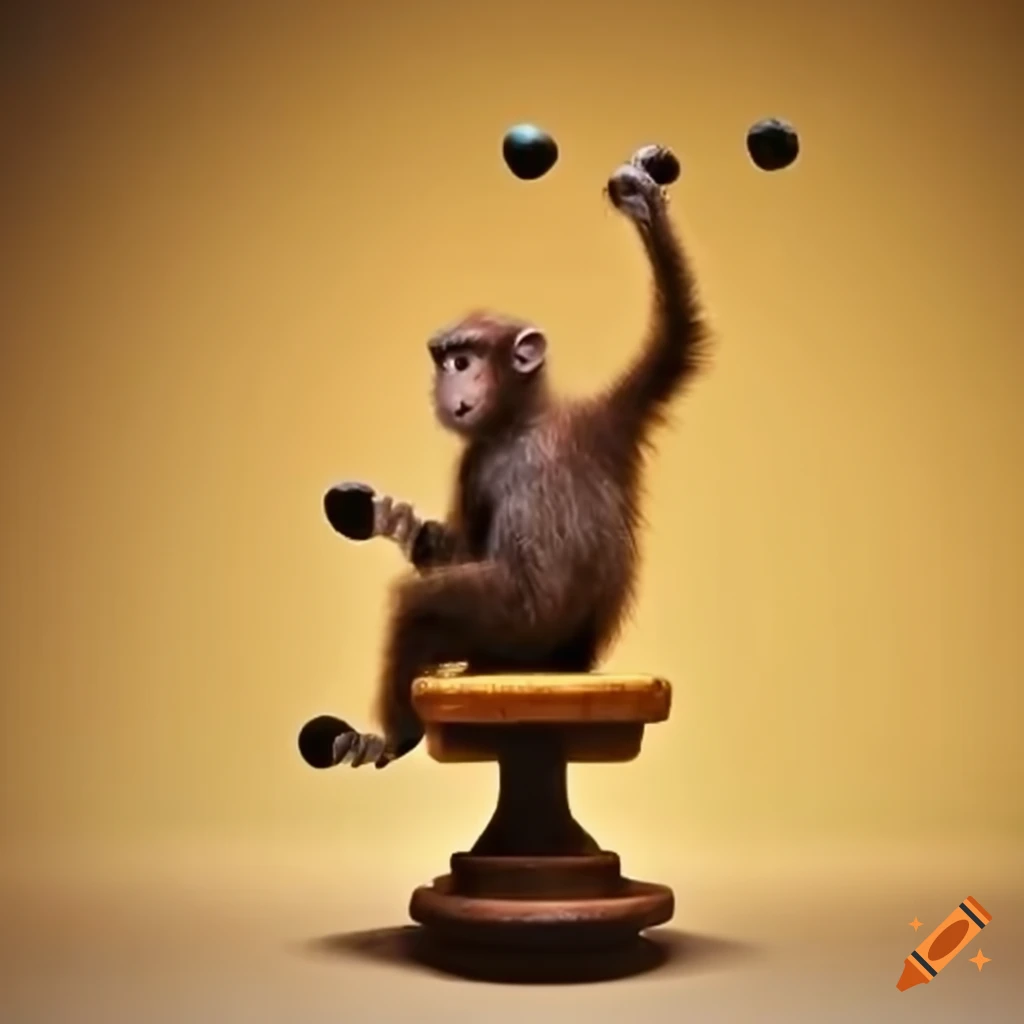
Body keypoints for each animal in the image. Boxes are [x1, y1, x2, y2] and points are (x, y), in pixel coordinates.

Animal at [317, 143, 709, 771]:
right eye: (444, 361)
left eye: (464, 360)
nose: (447, 387)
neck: (523, 424)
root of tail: (556, 668)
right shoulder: (593, 422)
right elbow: (678, 341)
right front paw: (398, 524)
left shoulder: (593, 421)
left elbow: (677, 335)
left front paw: (644, 202)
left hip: (513, 626)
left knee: (419, 605)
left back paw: (398, 734)